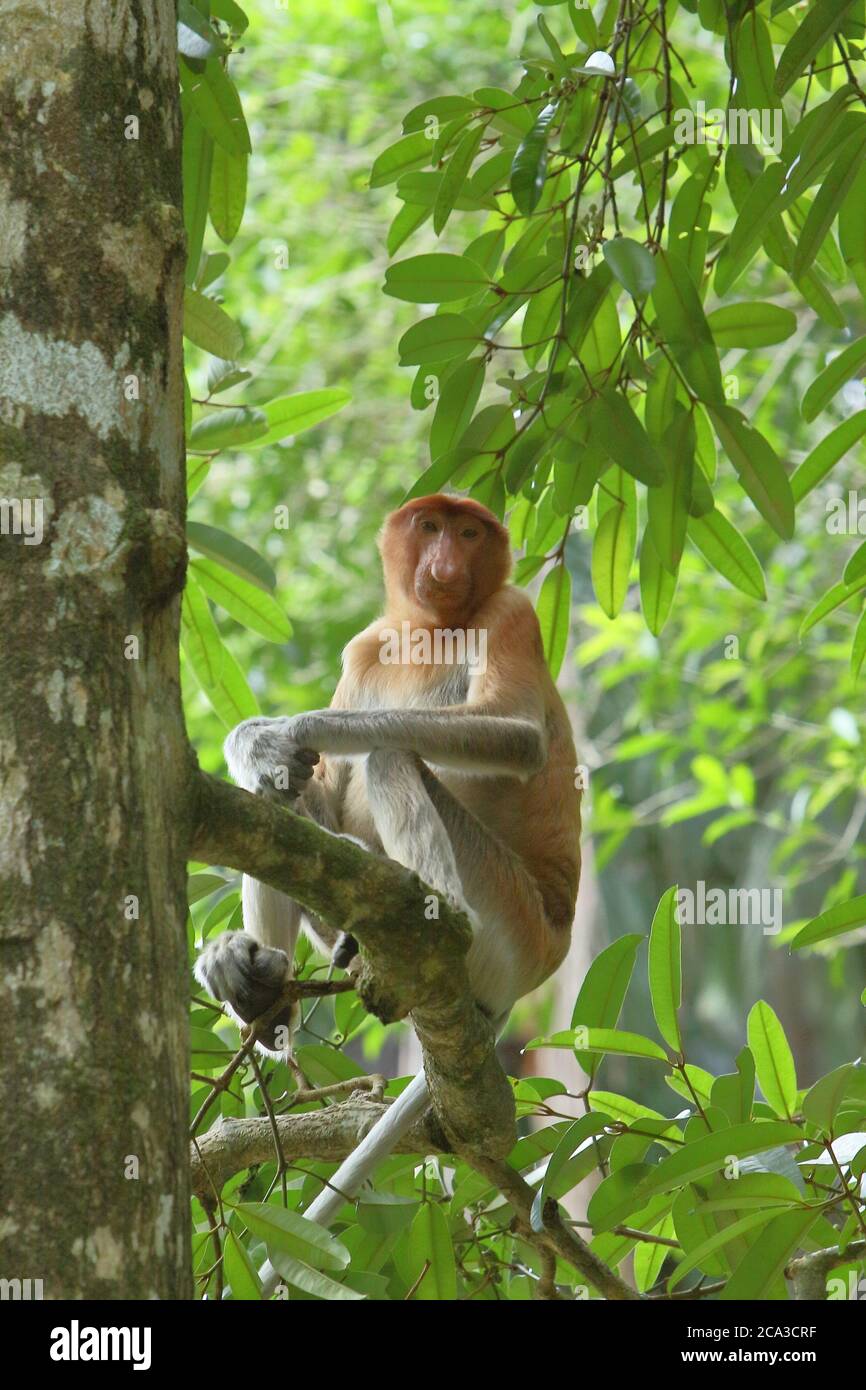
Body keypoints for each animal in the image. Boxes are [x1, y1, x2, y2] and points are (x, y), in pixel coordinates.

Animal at [195, 493, 581, 1244]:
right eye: (430, 527)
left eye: (469, 532)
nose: (446, 565)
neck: (430, 629)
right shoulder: (366, 645)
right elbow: (309, 789)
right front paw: (259, 752)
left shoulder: (512, 611)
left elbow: (517, 735)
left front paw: (282, 732)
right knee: (283, 813)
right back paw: (265, 989)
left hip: (511, 918)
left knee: (391, 755)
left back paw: (445, 915)